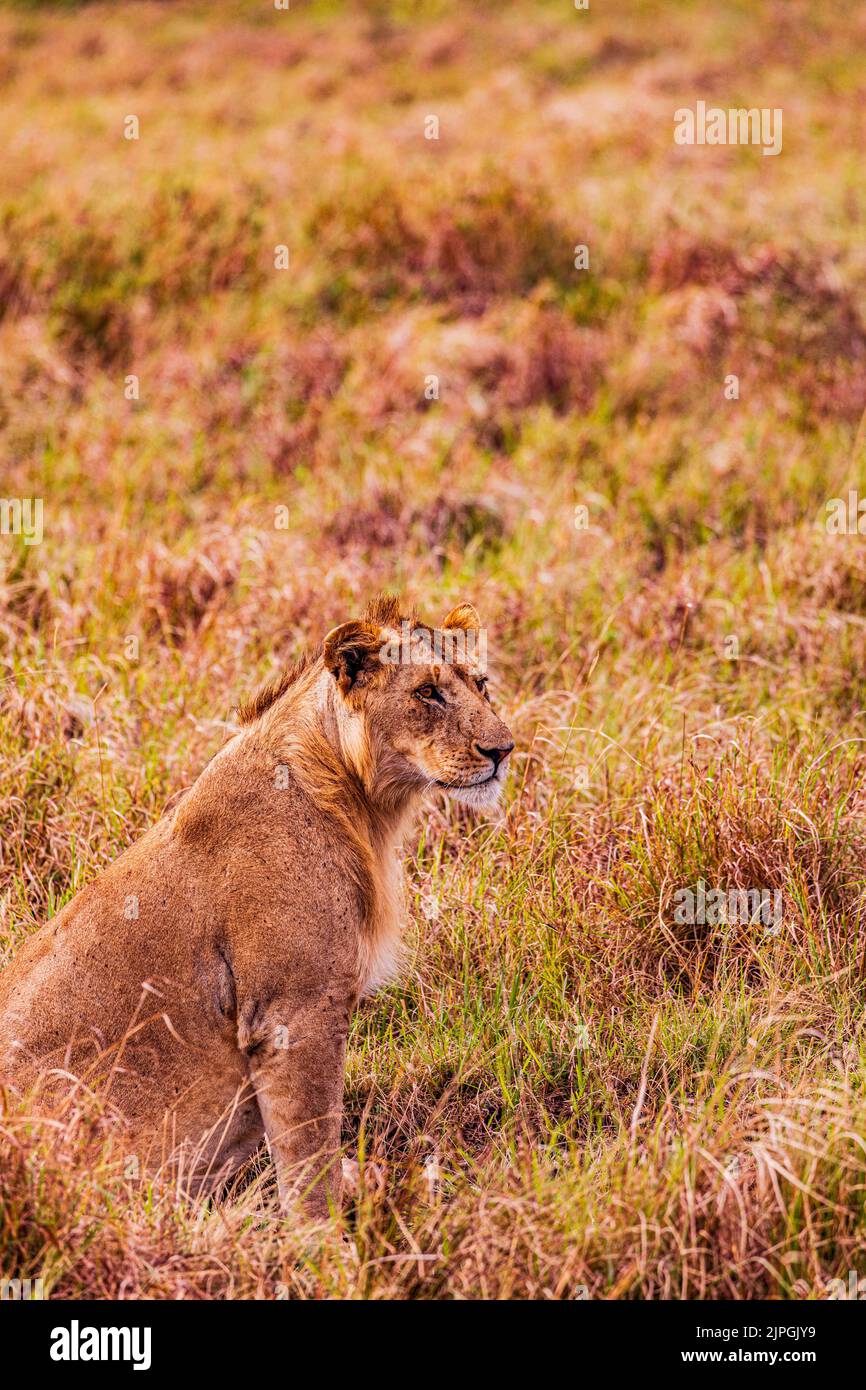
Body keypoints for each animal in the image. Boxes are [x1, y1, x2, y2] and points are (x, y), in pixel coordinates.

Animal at [0, 595, 514, 1216]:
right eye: (428, 692)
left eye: (481, 685)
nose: (503, 750)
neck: (362, 805)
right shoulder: (293, 1015)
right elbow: (309, 1159)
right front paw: (326, 1239)